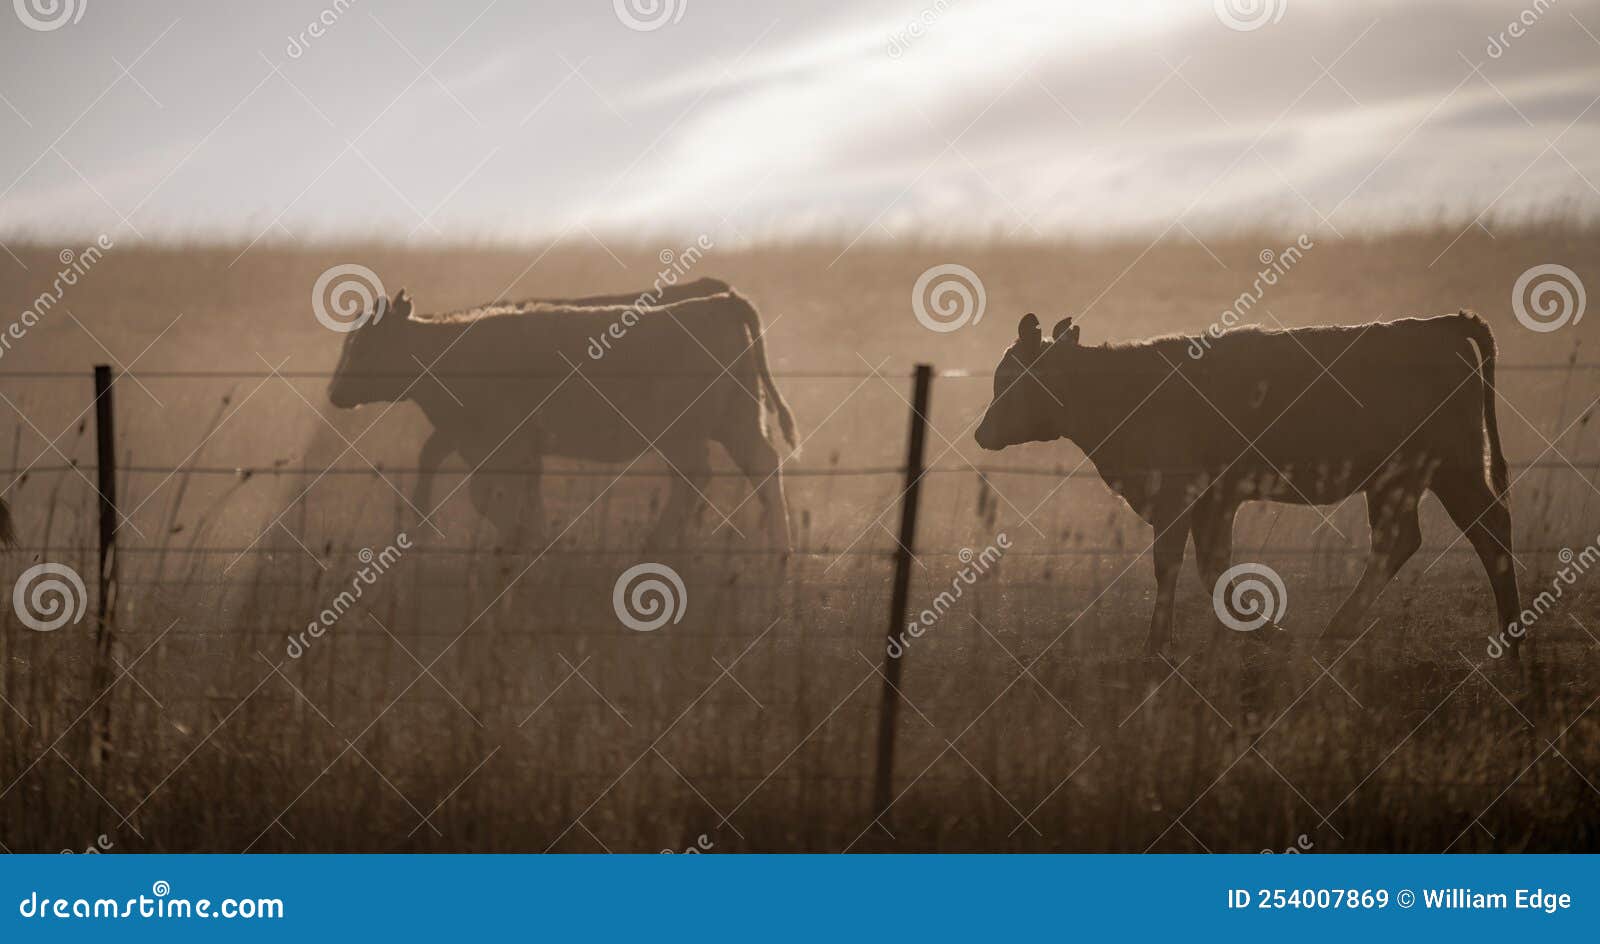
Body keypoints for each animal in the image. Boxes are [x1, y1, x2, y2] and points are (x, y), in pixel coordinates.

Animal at [327, 281, 798, 551]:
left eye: (364, 346)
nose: (334, 392)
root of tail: (717, 300)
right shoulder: (495, 446)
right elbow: (508, 497)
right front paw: (528, 537)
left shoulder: (504, 444)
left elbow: (489, 496)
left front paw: (524, 538)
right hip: (736, 421)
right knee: (760, 469)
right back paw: (778, 551)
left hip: (683, 433)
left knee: (698, 480)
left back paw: (660, 543)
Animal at [974, 310, 1520, 657]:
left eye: (1007, 378)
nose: (981, 433)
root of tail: (1439, 325)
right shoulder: (1214, 502)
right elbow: (1214, 568)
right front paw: (1247, 635)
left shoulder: (1177, 497)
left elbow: (1171, 566)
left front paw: (1159, 646)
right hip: (1401, 479)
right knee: (1405, 540)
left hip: (1453, 468)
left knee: (1487, 532)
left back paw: (1509, 635)